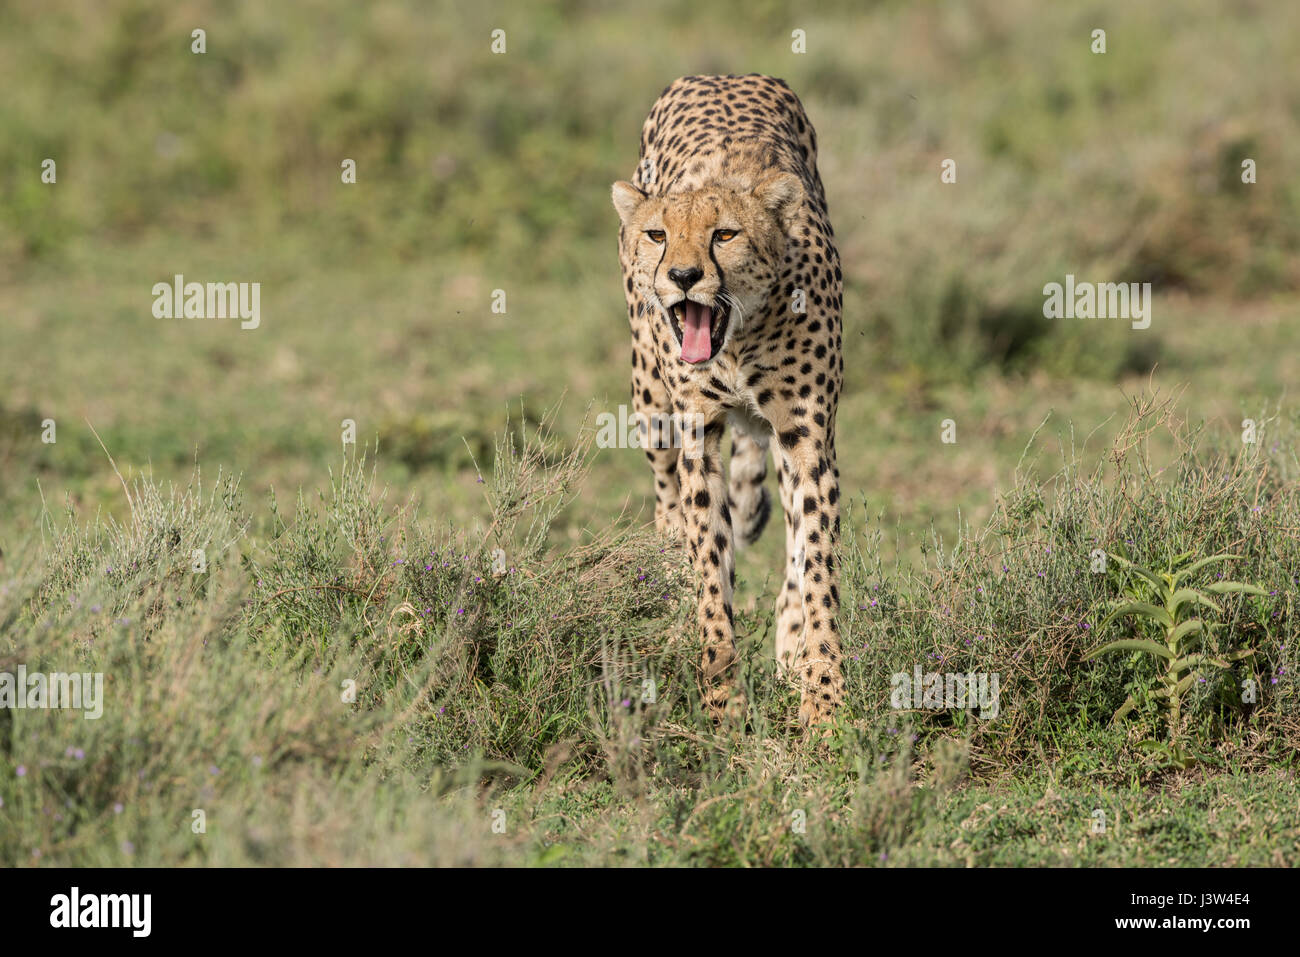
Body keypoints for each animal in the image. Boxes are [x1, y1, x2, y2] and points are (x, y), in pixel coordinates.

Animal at [611, 74, 845, 733]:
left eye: (726, 234)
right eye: (658, 235)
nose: (684, 277)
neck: (738, 338)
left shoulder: (806, 435)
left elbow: (815, 561)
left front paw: (822, 696)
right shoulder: (700, 432)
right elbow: (710, 568)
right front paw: (722, 698)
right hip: (650, 402)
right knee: (667, 507)